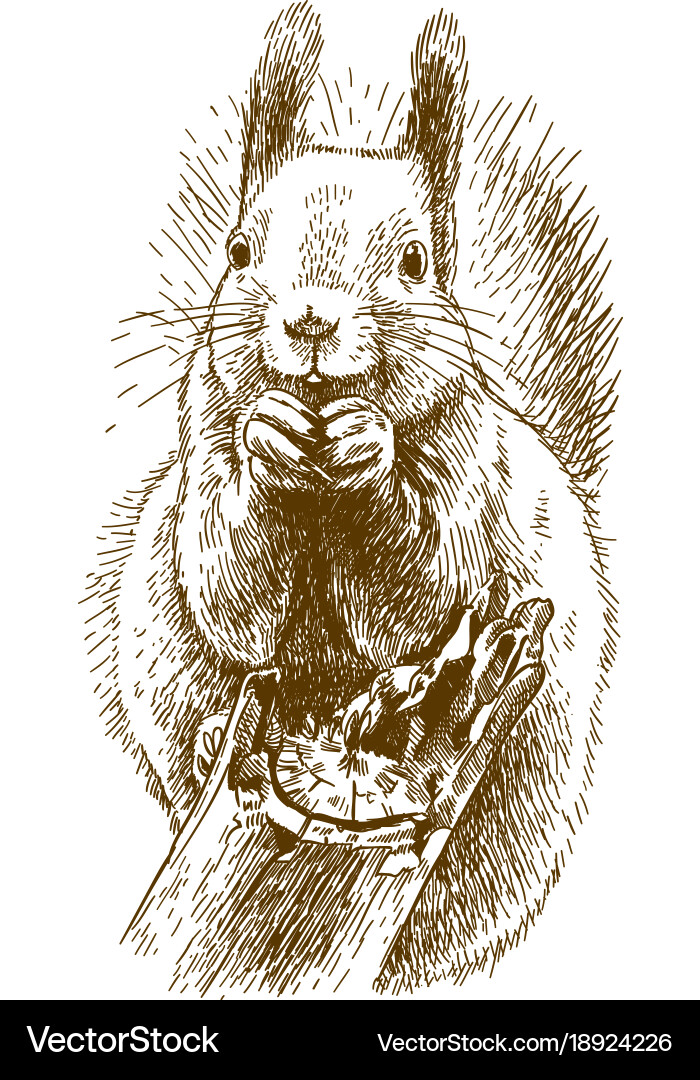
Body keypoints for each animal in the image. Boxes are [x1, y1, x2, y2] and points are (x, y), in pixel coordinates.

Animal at [87, 4, 617, 985]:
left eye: (415, 262)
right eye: (239, 250)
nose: (311, 319)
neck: (319, 486)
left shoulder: (468, 471)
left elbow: (420, 594)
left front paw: (368, 451)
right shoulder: (203, 441)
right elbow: (228, 592)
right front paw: (270, 439)